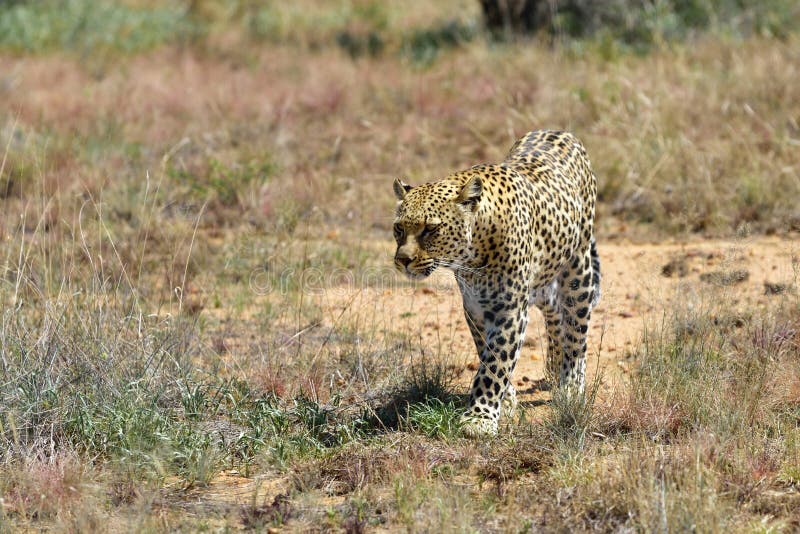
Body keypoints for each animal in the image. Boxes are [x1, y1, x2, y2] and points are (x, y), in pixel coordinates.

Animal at [392, 129, 601, 437]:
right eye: (399, 228)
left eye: (430, 229)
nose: (403, 260)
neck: (472, 254)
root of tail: (561, 131)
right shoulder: (476, 308)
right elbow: (486, 353)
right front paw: (507, 400)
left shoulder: (510, 309)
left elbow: (496, 361)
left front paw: (478, 418)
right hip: (542, 279)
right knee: (553, 309)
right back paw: (554, 363)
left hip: (578, 268)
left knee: (577, 326)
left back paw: (571, 384)